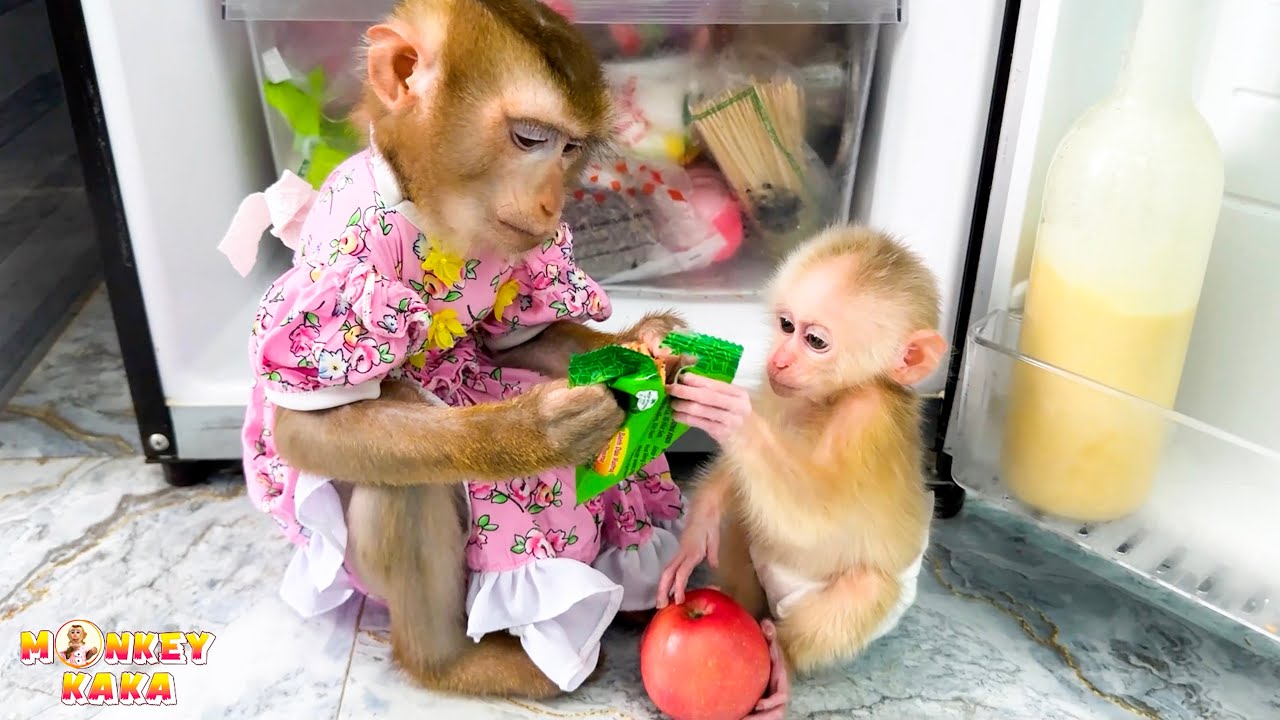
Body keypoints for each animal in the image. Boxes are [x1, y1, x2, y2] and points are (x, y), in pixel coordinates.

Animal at [231, 0, 691, 702]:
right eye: (528, 139)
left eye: (570, 148)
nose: (553, 202)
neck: (428, 211)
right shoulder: (339, 270)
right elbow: (314, 428)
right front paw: (531, 431)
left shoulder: (531, 256)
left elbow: (527, 339)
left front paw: (644, 343)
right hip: (344, 563)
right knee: (405, 479)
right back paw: (446, 662)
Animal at [655, 225, 947, 720]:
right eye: (786, 326)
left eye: (815, 341)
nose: (780, 360)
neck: (835, 395)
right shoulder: (779, 391)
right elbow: (741, 476)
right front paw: (698, 529)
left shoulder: (869, 417)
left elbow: (821, 513)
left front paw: (733, 417)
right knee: (749, 517)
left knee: (865, 589)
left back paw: (783, 659)